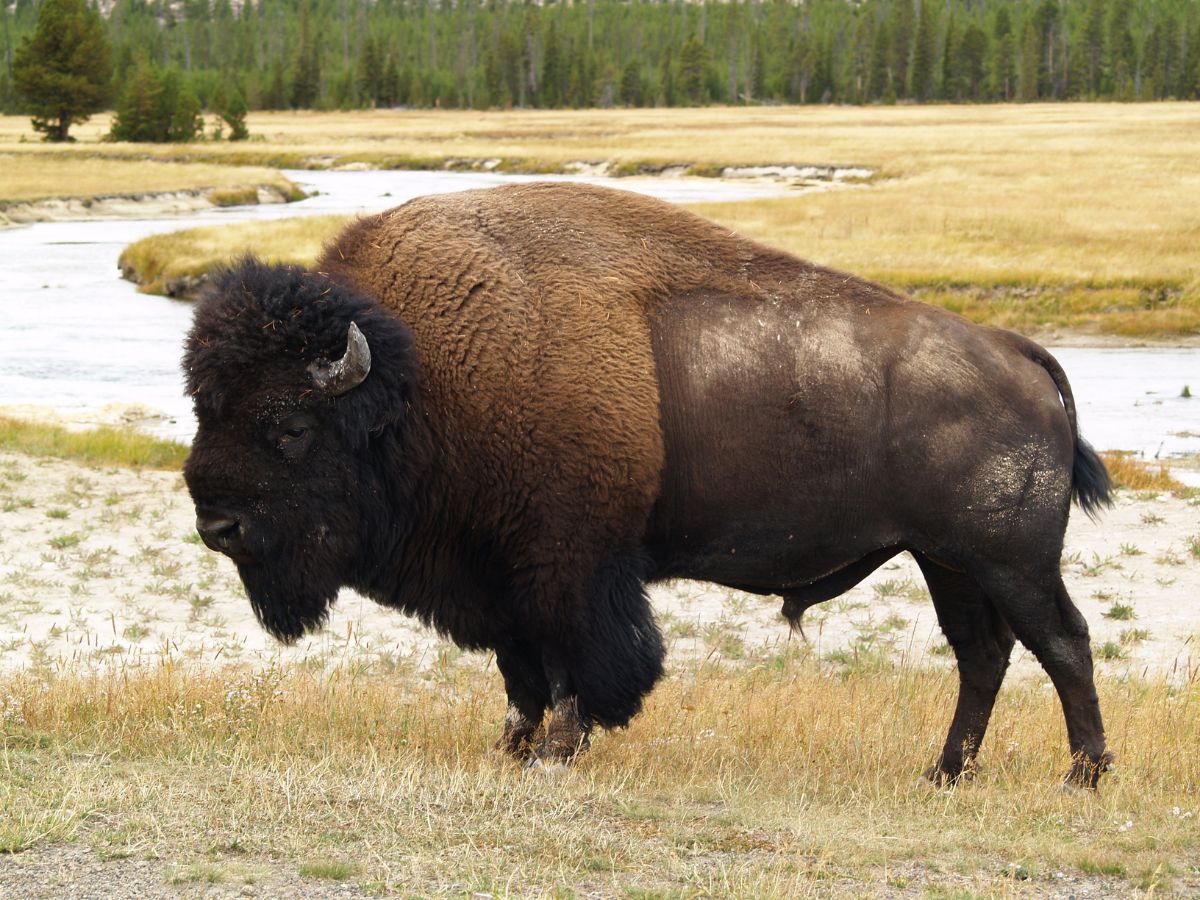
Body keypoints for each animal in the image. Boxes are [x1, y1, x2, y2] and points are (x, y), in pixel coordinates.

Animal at [184, 182, 1113, 788]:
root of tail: (1015, 349)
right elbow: (520, 671)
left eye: (288, 427)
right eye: (203, 406)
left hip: (1010, 560)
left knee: (1060, 643)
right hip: (947, 561)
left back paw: (1082, 776)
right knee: (982, 654)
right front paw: (512, 747)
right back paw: (945, 773)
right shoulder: (501, 577)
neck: (420, 379)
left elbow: (573, 666)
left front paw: (556, 752)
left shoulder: (567, 566)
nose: (215, 525)